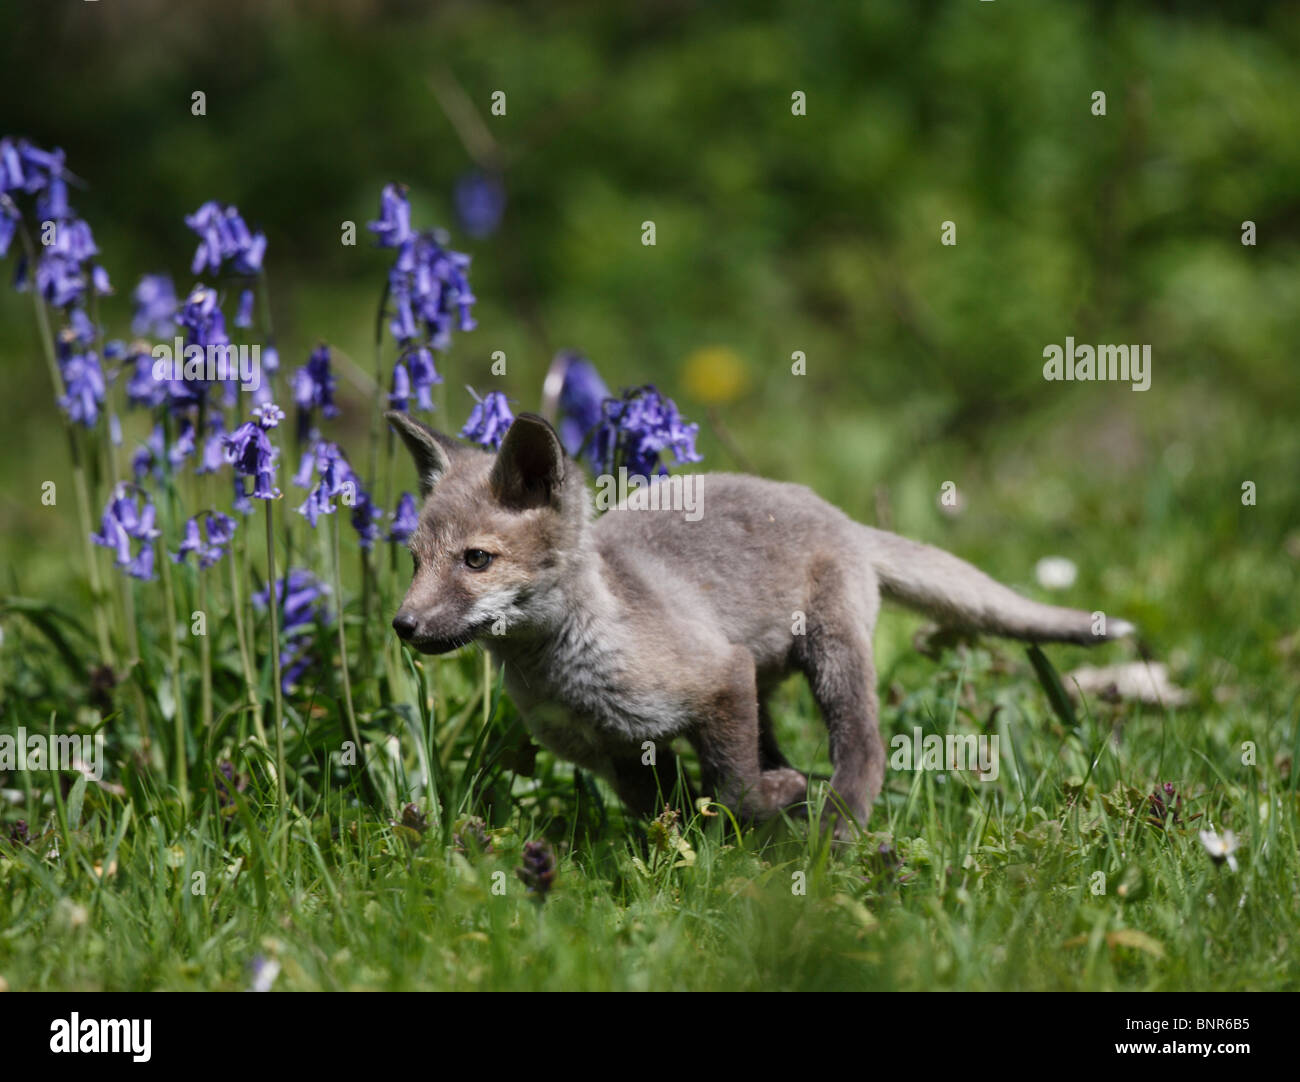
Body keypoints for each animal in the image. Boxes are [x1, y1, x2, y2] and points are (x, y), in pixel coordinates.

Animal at [386, 409, 1133, 835]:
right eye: (415, 560)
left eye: (476, 560)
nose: (403, 626)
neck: (570, 674)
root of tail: (834, 510)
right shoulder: (617, 751)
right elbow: (670, 806)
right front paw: (703, 842)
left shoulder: (719, 678)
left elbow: (738, 788)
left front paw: (773, 806)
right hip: (770, 681)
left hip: (830, 657)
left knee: (865, 750)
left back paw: (835, 830)